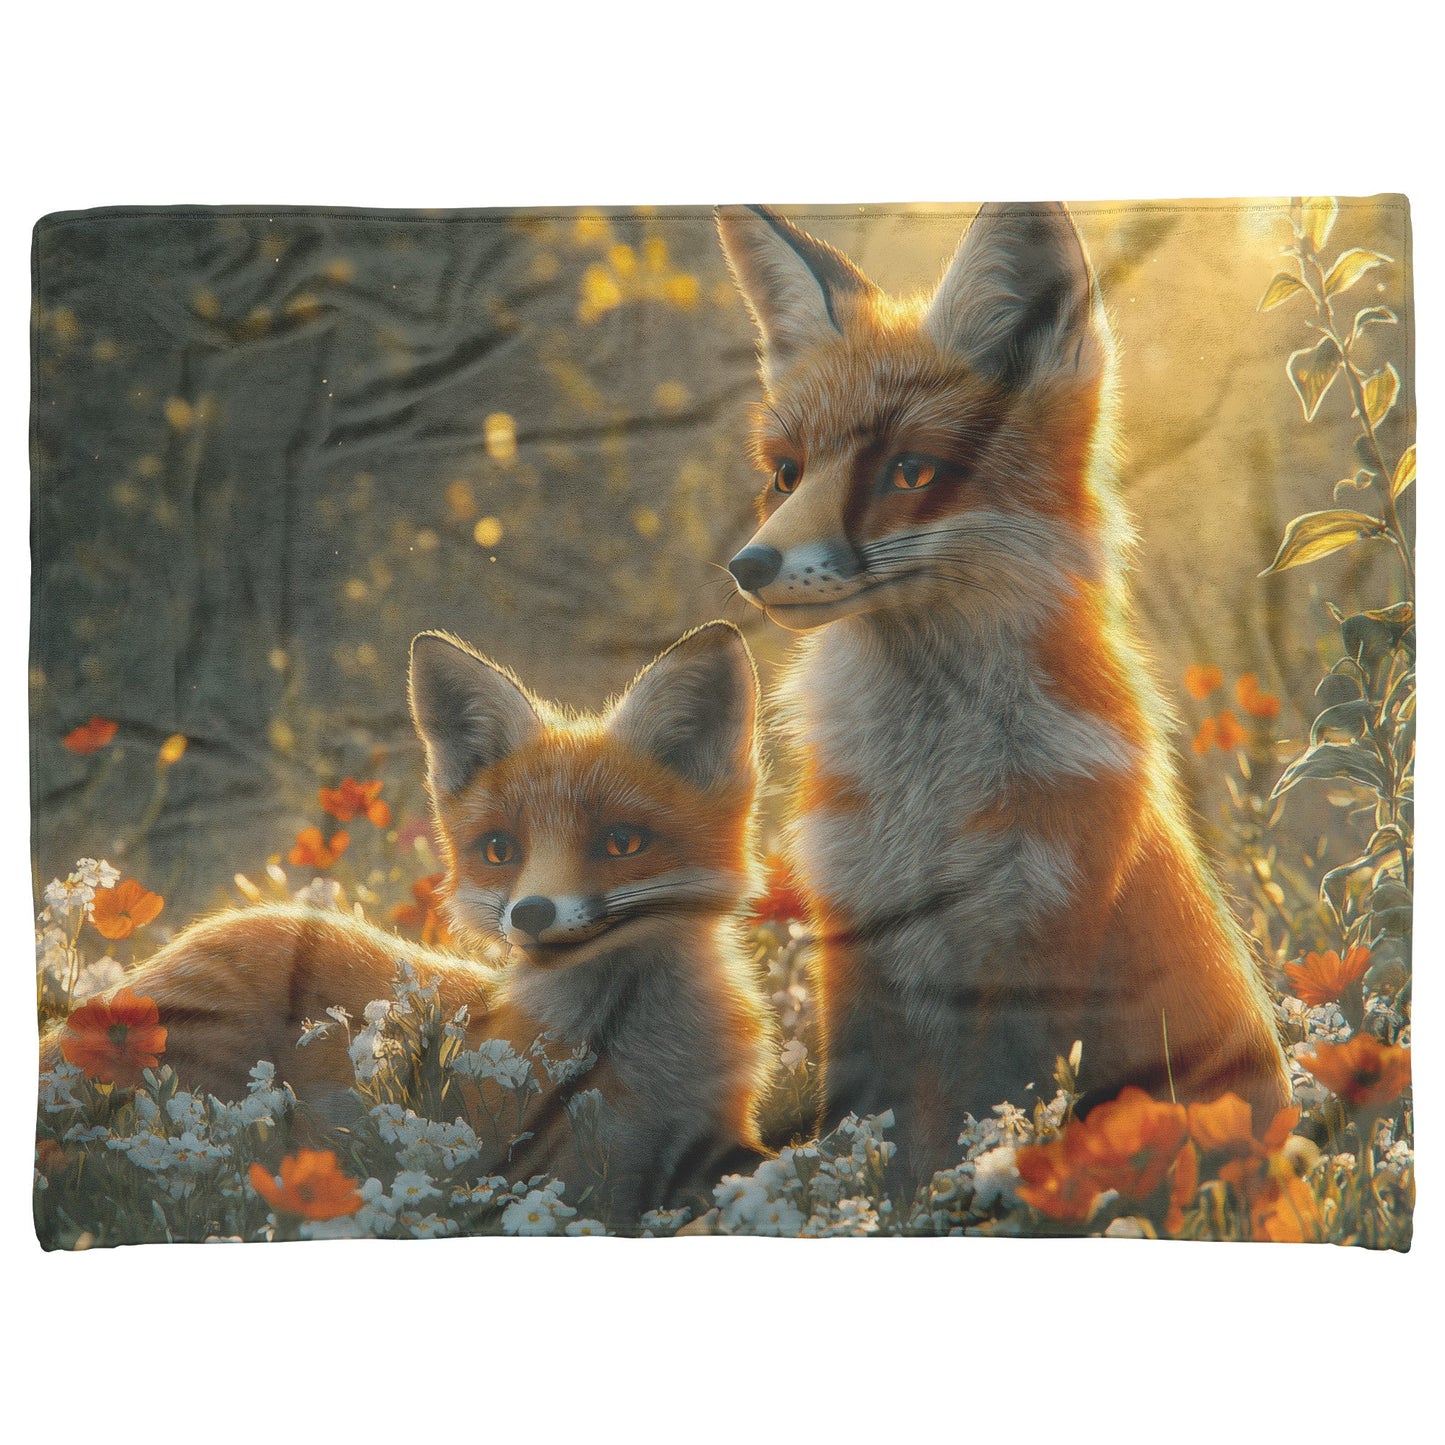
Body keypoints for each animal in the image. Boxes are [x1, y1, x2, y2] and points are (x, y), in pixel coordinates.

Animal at [41, 622, 775, 1221]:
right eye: (499, 850)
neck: (641, 1059)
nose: (530, 913)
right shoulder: (534, 1166)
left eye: (621, 843)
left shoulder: (709, 1146)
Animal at [715, 202, 1292, 1182]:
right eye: (786, 473)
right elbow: (873, 1133)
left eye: (908, 471)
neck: (925, 788)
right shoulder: (850, 930)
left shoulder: (1032, 934)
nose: (748, 566)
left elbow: (980, 1118)